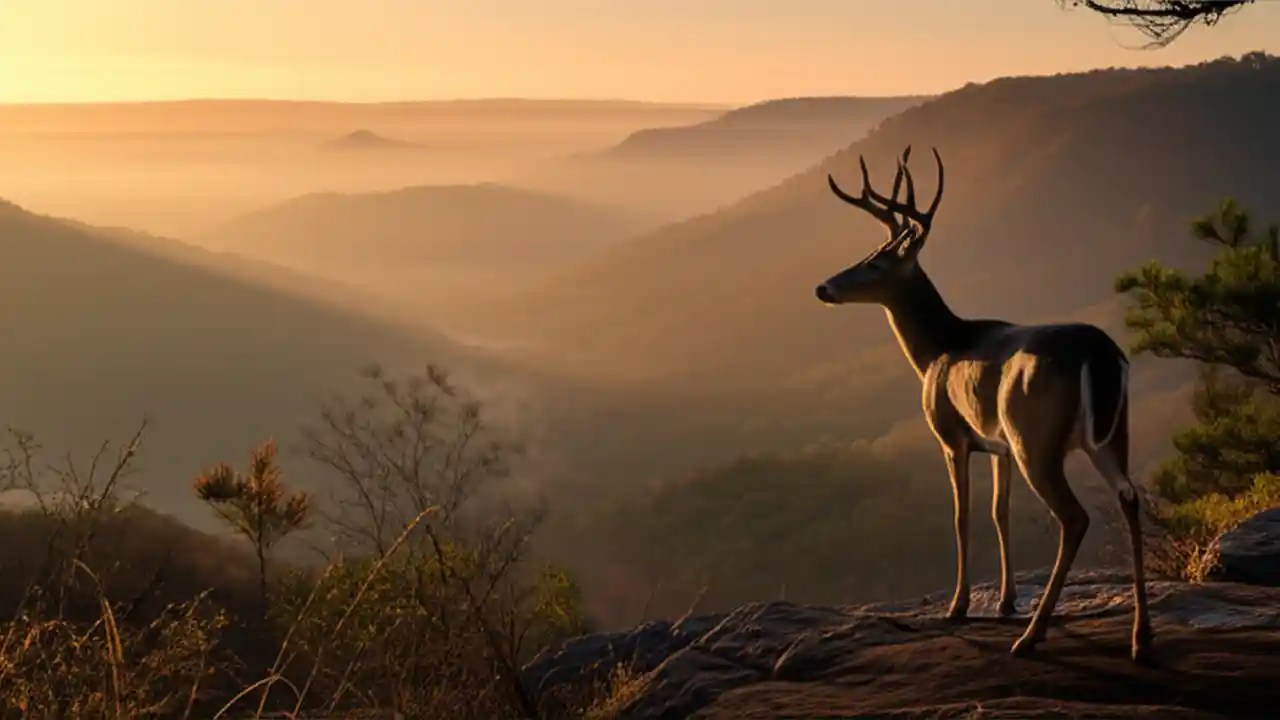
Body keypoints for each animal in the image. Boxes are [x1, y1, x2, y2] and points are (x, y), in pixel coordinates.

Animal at [815, 147, 1152, 662]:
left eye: (875, 263)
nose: (824, 287)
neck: (938, 350)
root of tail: (1100, 355)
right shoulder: (1000, 447)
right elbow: (1000, 512)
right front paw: (1006, 600)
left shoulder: (952, 437)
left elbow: (962, 515)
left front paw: (958, 606)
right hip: (1112, 434)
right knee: (1130, 498)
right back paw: (1140, 637)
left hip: (1037, 435)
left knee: (1074, 517)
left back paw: (1031, 636)